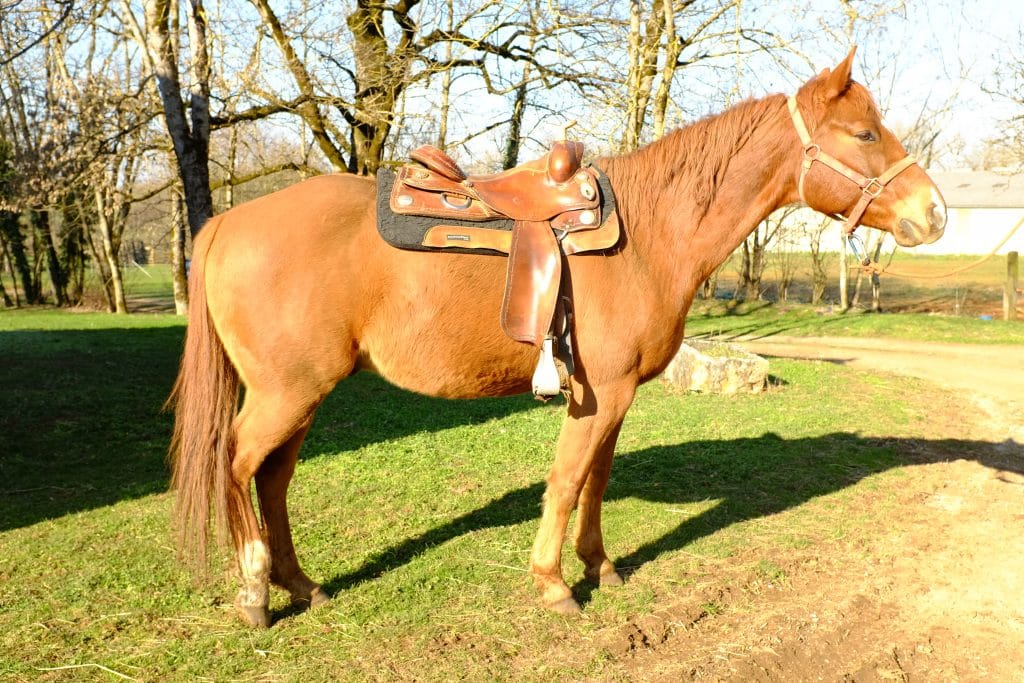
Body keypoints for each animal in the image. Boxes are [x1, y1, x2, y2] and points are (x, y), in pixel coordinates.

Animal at [168, 49, 946, 627]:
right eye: (865, 134)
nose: (935, 212)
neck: (650, 235)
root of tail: (228, 222)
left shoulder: (618, 395)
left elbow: (597, 479)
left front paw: (601, 564)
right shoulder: (599, 390)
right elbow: (568, 479)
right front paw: (552, 581)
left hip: (302, 392)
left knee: (272, 477)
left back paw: (301, 585)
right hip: (286, 391)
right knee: (236, 465)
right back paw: (254, 591)